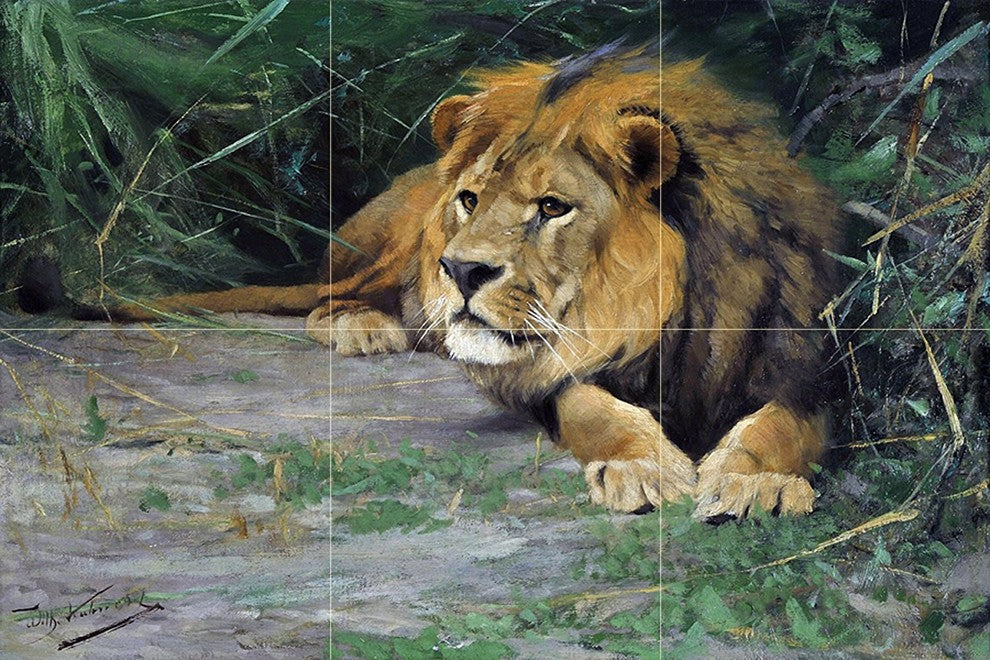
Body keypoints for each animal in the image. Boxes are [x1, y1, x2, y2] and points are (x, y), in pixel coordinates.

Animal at [20, 46, 843, 519]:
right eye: (472, 199)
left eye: (553, 207)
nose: (463, 269)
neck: (658, 323)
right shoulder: (534, 375)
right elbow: (590, 405)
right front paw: (643, 467)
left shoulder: (801, 366)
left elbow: (786, 424)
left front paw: (757, 483)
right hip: (391, 247)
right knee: (331, 293)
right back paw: (363, 326)